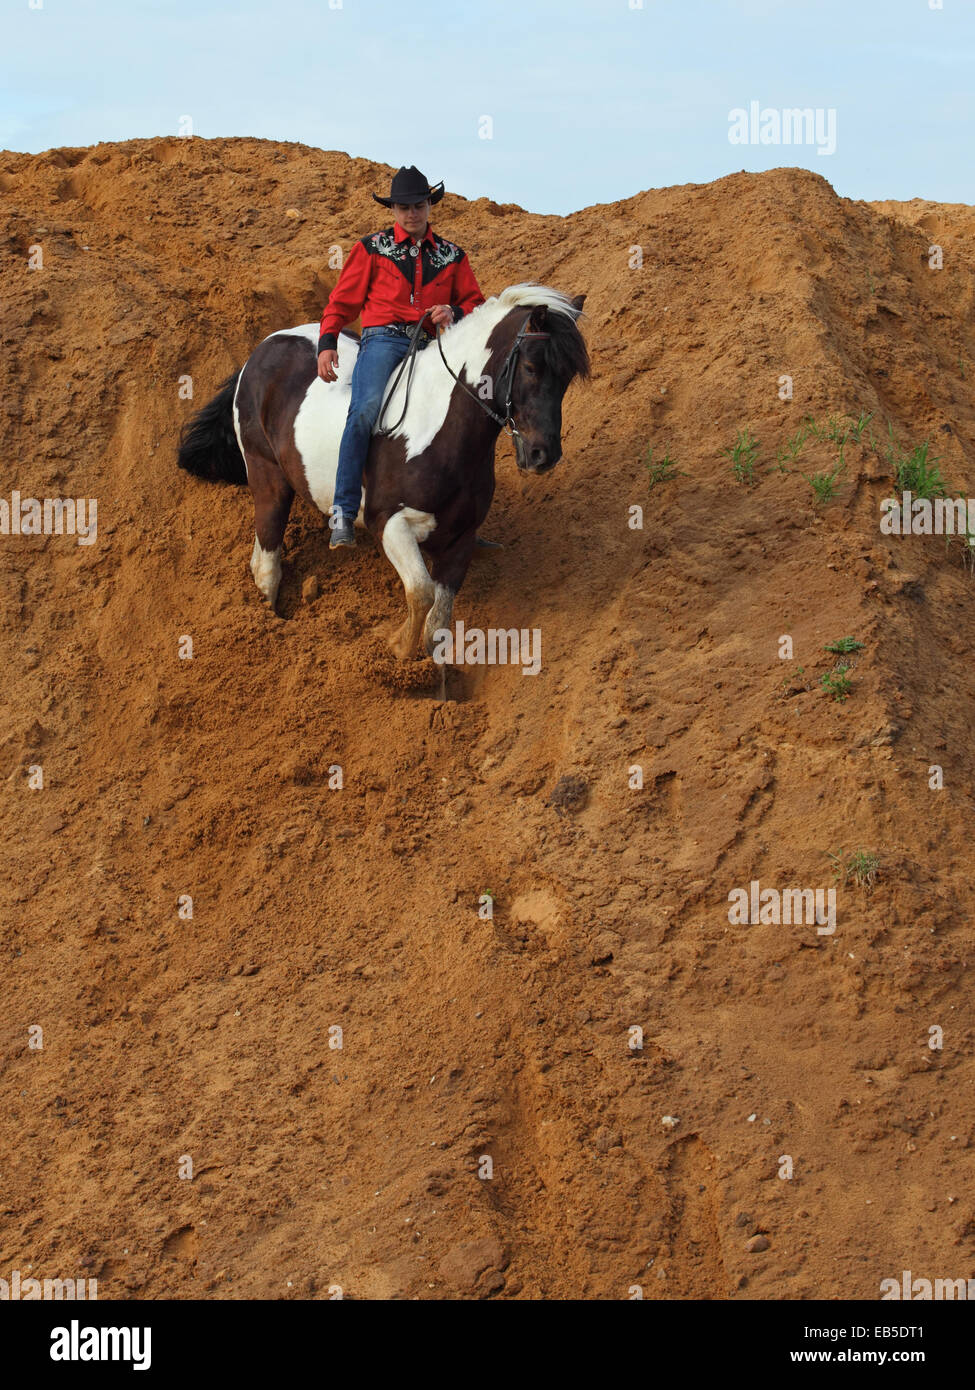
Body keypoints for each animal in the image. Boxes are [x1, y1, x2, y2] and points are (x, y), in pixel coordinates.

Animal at [176, 283, 589, 662]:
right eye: (532, 367)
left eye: (568, 376)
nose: (543, 454)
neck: (438, 428)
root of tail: (263, 348)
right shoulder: (390, 522)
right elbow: (420, 592)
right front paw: (397, 648)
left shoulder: (461, 539)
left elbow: (438, 622)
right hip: (267, 478)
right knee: (265, 564)